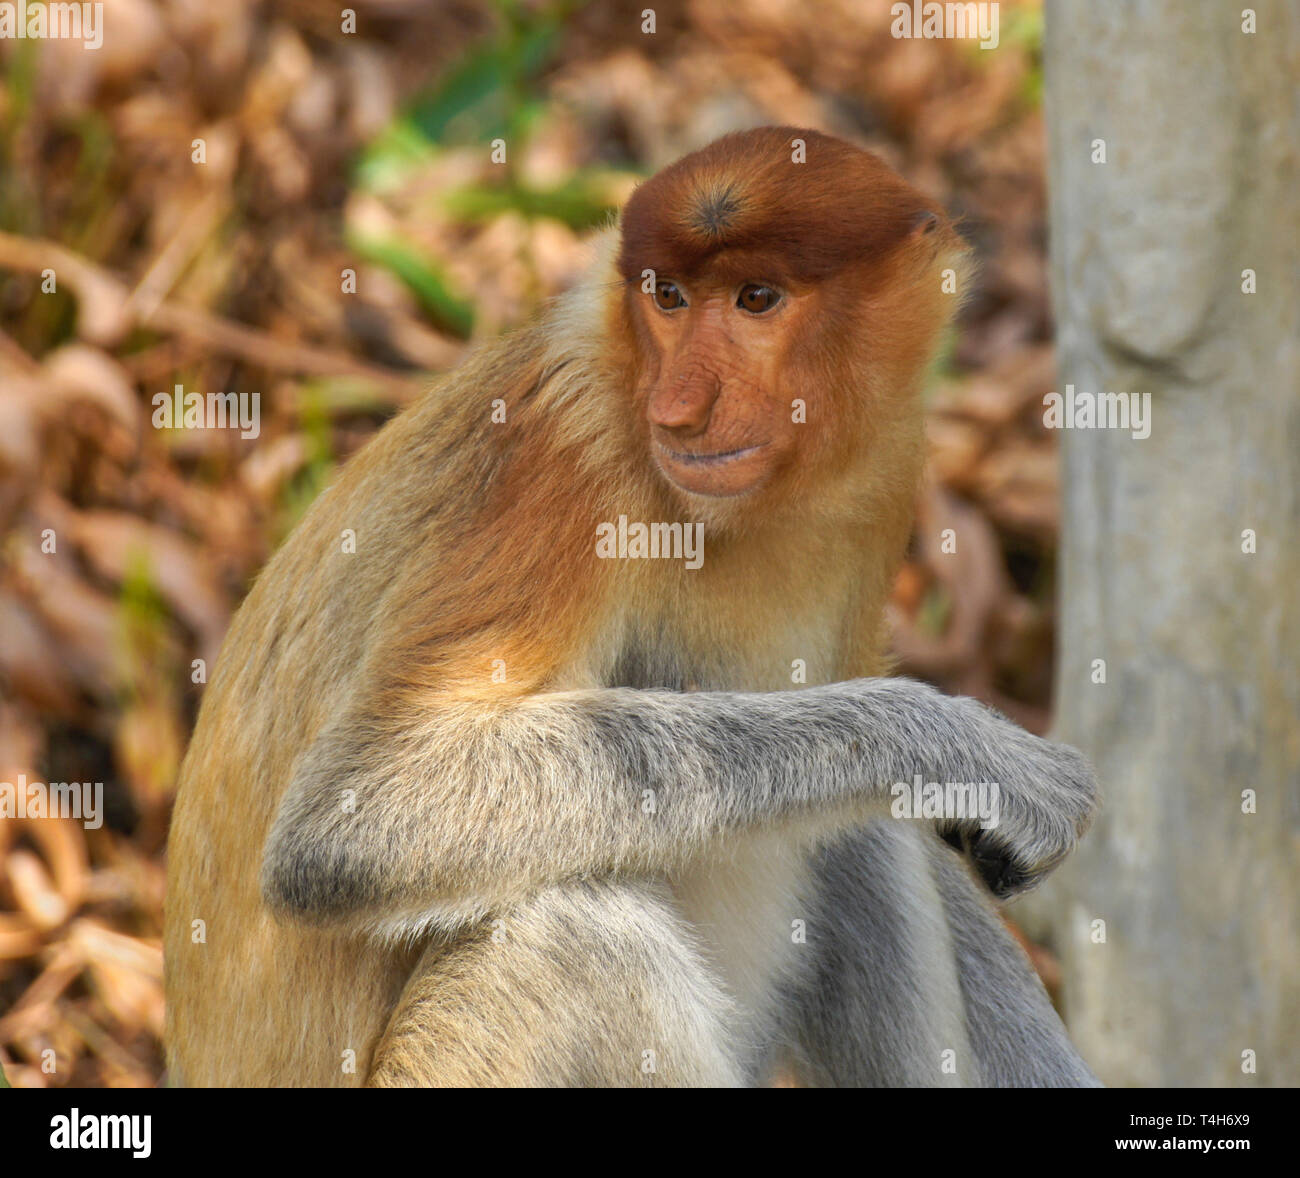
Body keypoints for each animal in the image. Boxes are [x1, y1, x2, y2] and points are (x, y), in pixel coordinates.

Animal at [164, 126, 1098, 1088]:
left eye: (757, 299)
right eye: (670, 298)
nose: (679, 410)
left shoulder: (886, 466)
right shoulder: (569, 459)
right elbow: (350, 821)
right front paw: (966, 747)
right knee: (582, 937)